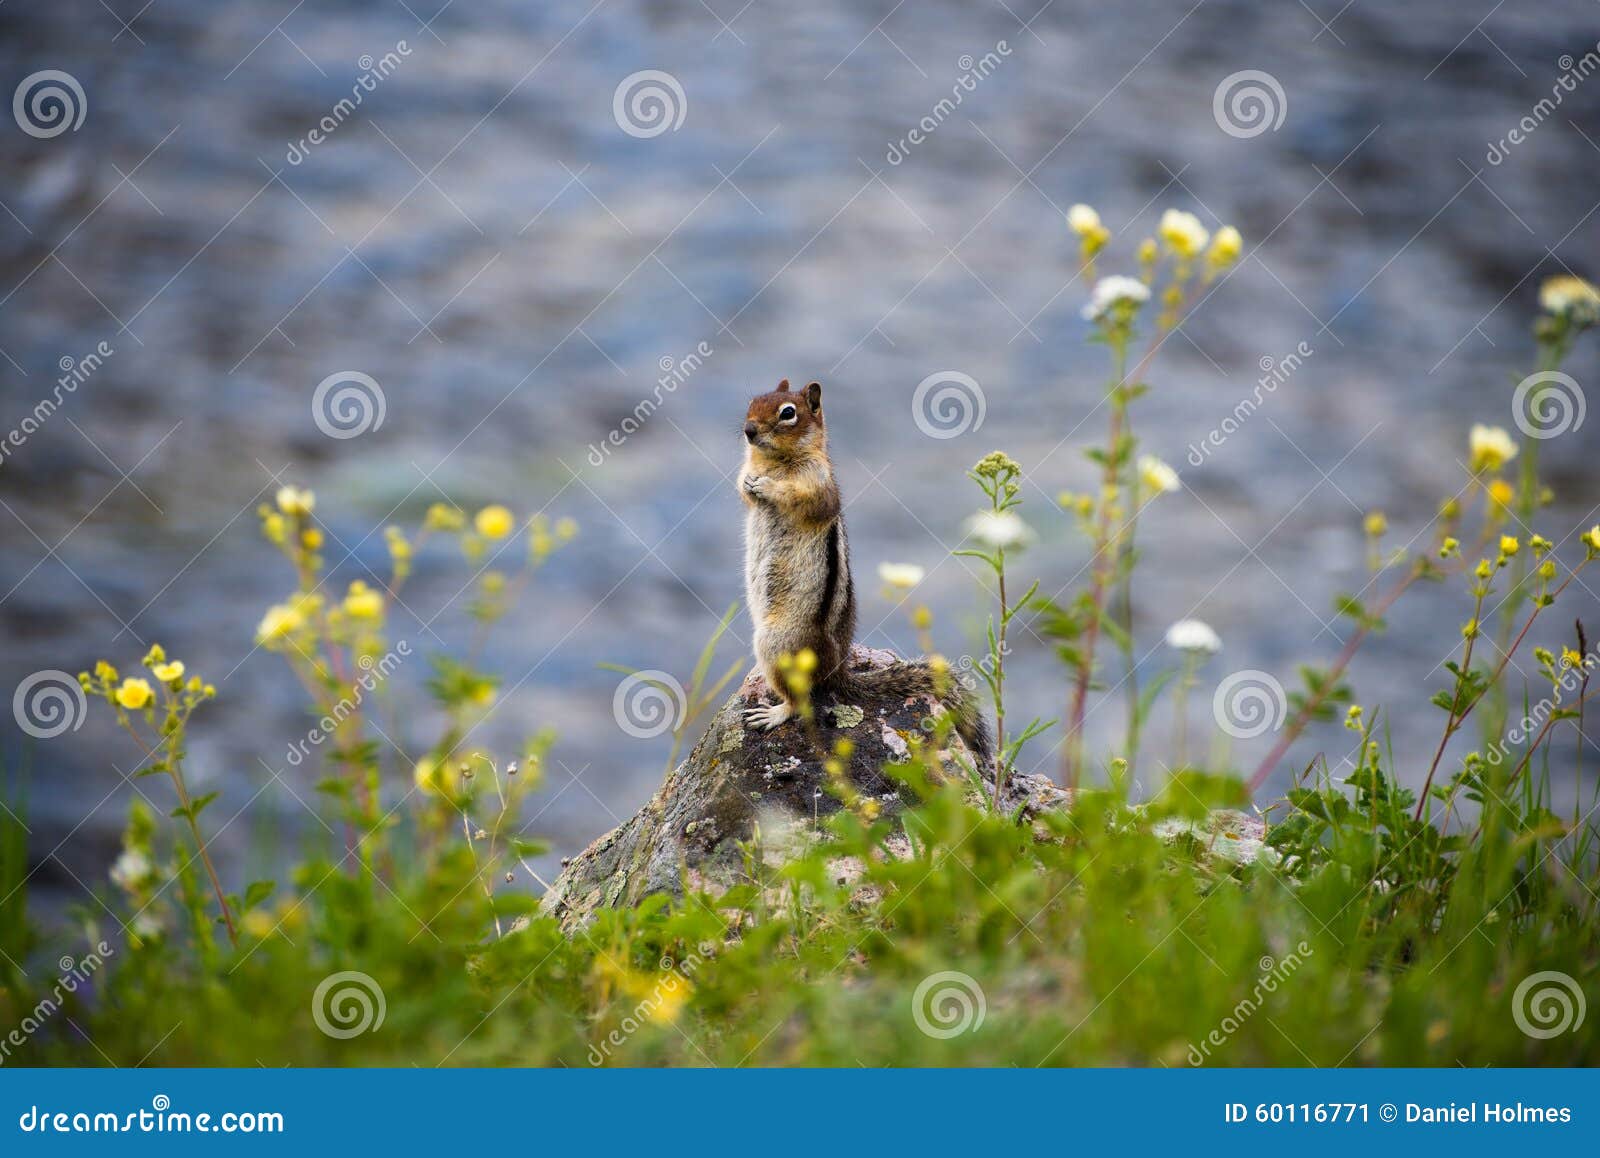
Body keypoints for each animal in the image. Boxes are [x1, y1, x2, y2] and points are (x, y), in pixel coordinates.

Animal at [737, 378, 991, 763]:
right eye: (753, 402)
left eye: (787, 413)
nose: (749, 430)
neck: (776, 461)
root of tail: (837, 670)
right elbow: (743, 490)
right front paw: (750, 480)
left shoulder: (818, 483)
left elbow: (802, 499)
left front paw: (766, 485)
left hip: (776, 643)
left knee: (800, 703)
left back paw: (774, 713)